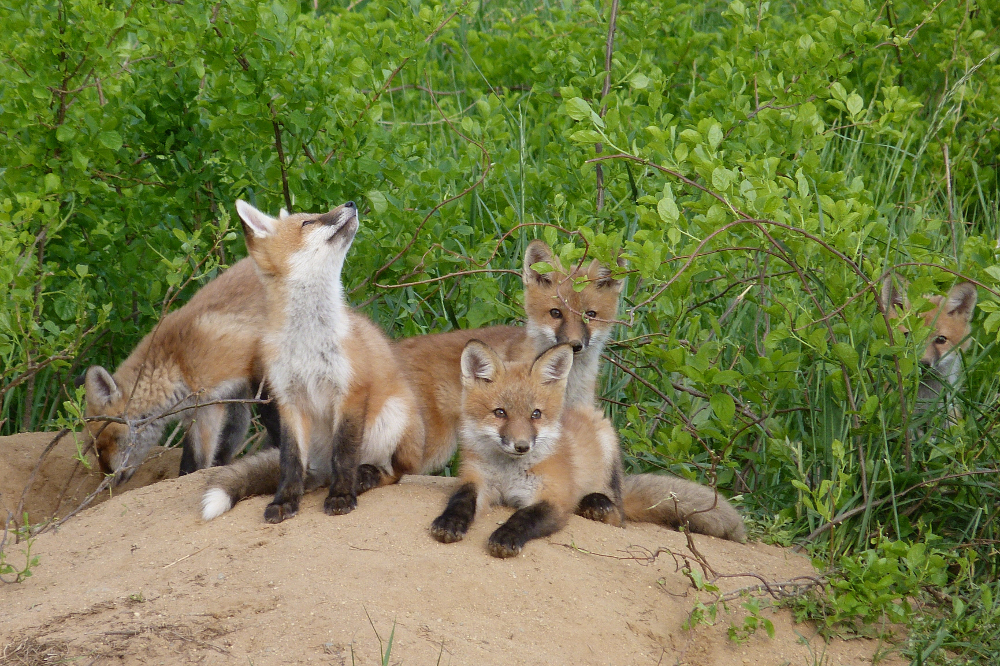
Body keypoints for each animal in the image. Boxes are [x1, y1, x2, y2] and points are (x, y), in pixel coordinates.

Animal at [83, 258, 281, 485]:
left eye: (101, 446)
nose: (107, 484)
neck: (178, 362)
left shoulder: (258, 364)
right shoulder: (206, 407)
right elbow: (195, 461)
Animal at [201, 200, 427, 523]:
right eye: (307, 223)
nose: (351, 203)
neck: (308, 340)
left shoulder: (350, 392)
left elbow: (344, 455)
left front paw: (342, 496)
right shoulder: (288, 401)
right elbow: (290, 462)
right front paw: (285, 500)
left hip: (393, 418)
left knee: (394, 472)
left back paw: (367, 476)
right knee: (315, 472)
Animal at [430, 340, 746, 559]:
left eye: (535, 414)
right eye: (500, 413)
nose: (521, 446)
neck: (509, 473)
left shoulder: (555, 497)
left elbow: (524, 517)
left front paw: (506, 535)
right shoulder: (476, 479)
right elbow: (460, 500)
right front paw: (449, 522)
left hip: (608, 449)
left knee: (618, 515)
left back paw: (596, 504)